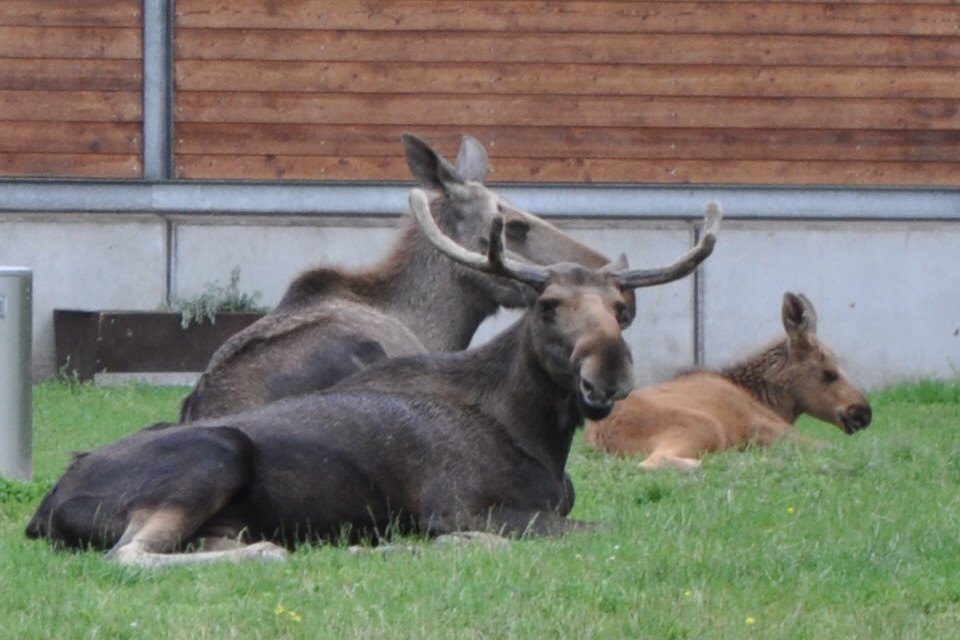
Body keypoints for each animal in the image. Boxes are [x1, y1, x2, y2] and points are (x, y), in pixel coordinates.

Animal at [25, 189, 722, 568]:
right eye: (548, 305)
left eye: (621, 309)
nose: (608, 375)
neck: (538, 438)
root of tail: (44, 508)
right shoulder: (458, 505)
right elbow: (591, 532)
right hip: (213, 454)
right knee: (131, 554)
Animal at [585, 292, 872, 471]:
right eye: (829, 372)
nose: (863, 412)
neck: (766, 399)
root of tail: (601, 436)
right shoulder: (769, 427)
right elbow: (829, 446)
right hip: (704, 426)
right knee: (657, 462)